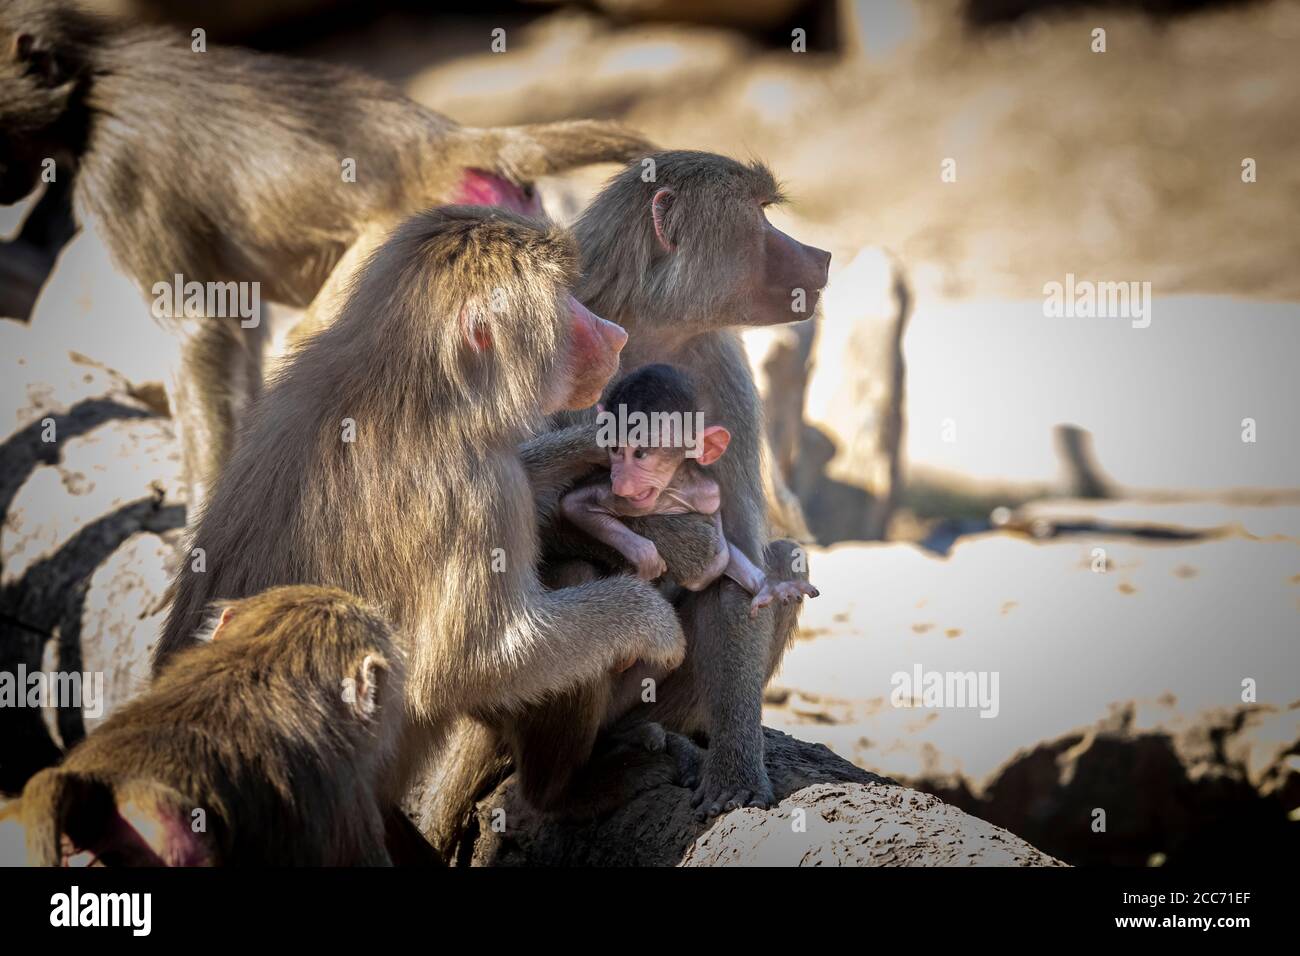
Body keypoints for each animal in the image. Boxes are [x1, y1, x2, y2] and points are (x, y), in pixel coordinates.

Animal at [148, 207, 687, 835]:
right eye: (565, 301)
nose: (616, 335)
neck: (419, 384)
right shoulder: (474, 490)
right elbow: (470, 665)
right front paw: (652, 623)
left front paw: (592, 448)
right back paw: (563, 792)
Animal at [563, 363, 820, 617]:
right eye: (615, 449)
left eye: (640, 454)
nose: (620, 481)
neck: (673, 489)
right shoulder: (623, 499)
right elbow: (574, 505)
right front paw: (644, 553)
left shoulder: (709, 494)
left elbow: (723, 552)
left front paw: (767, 586)